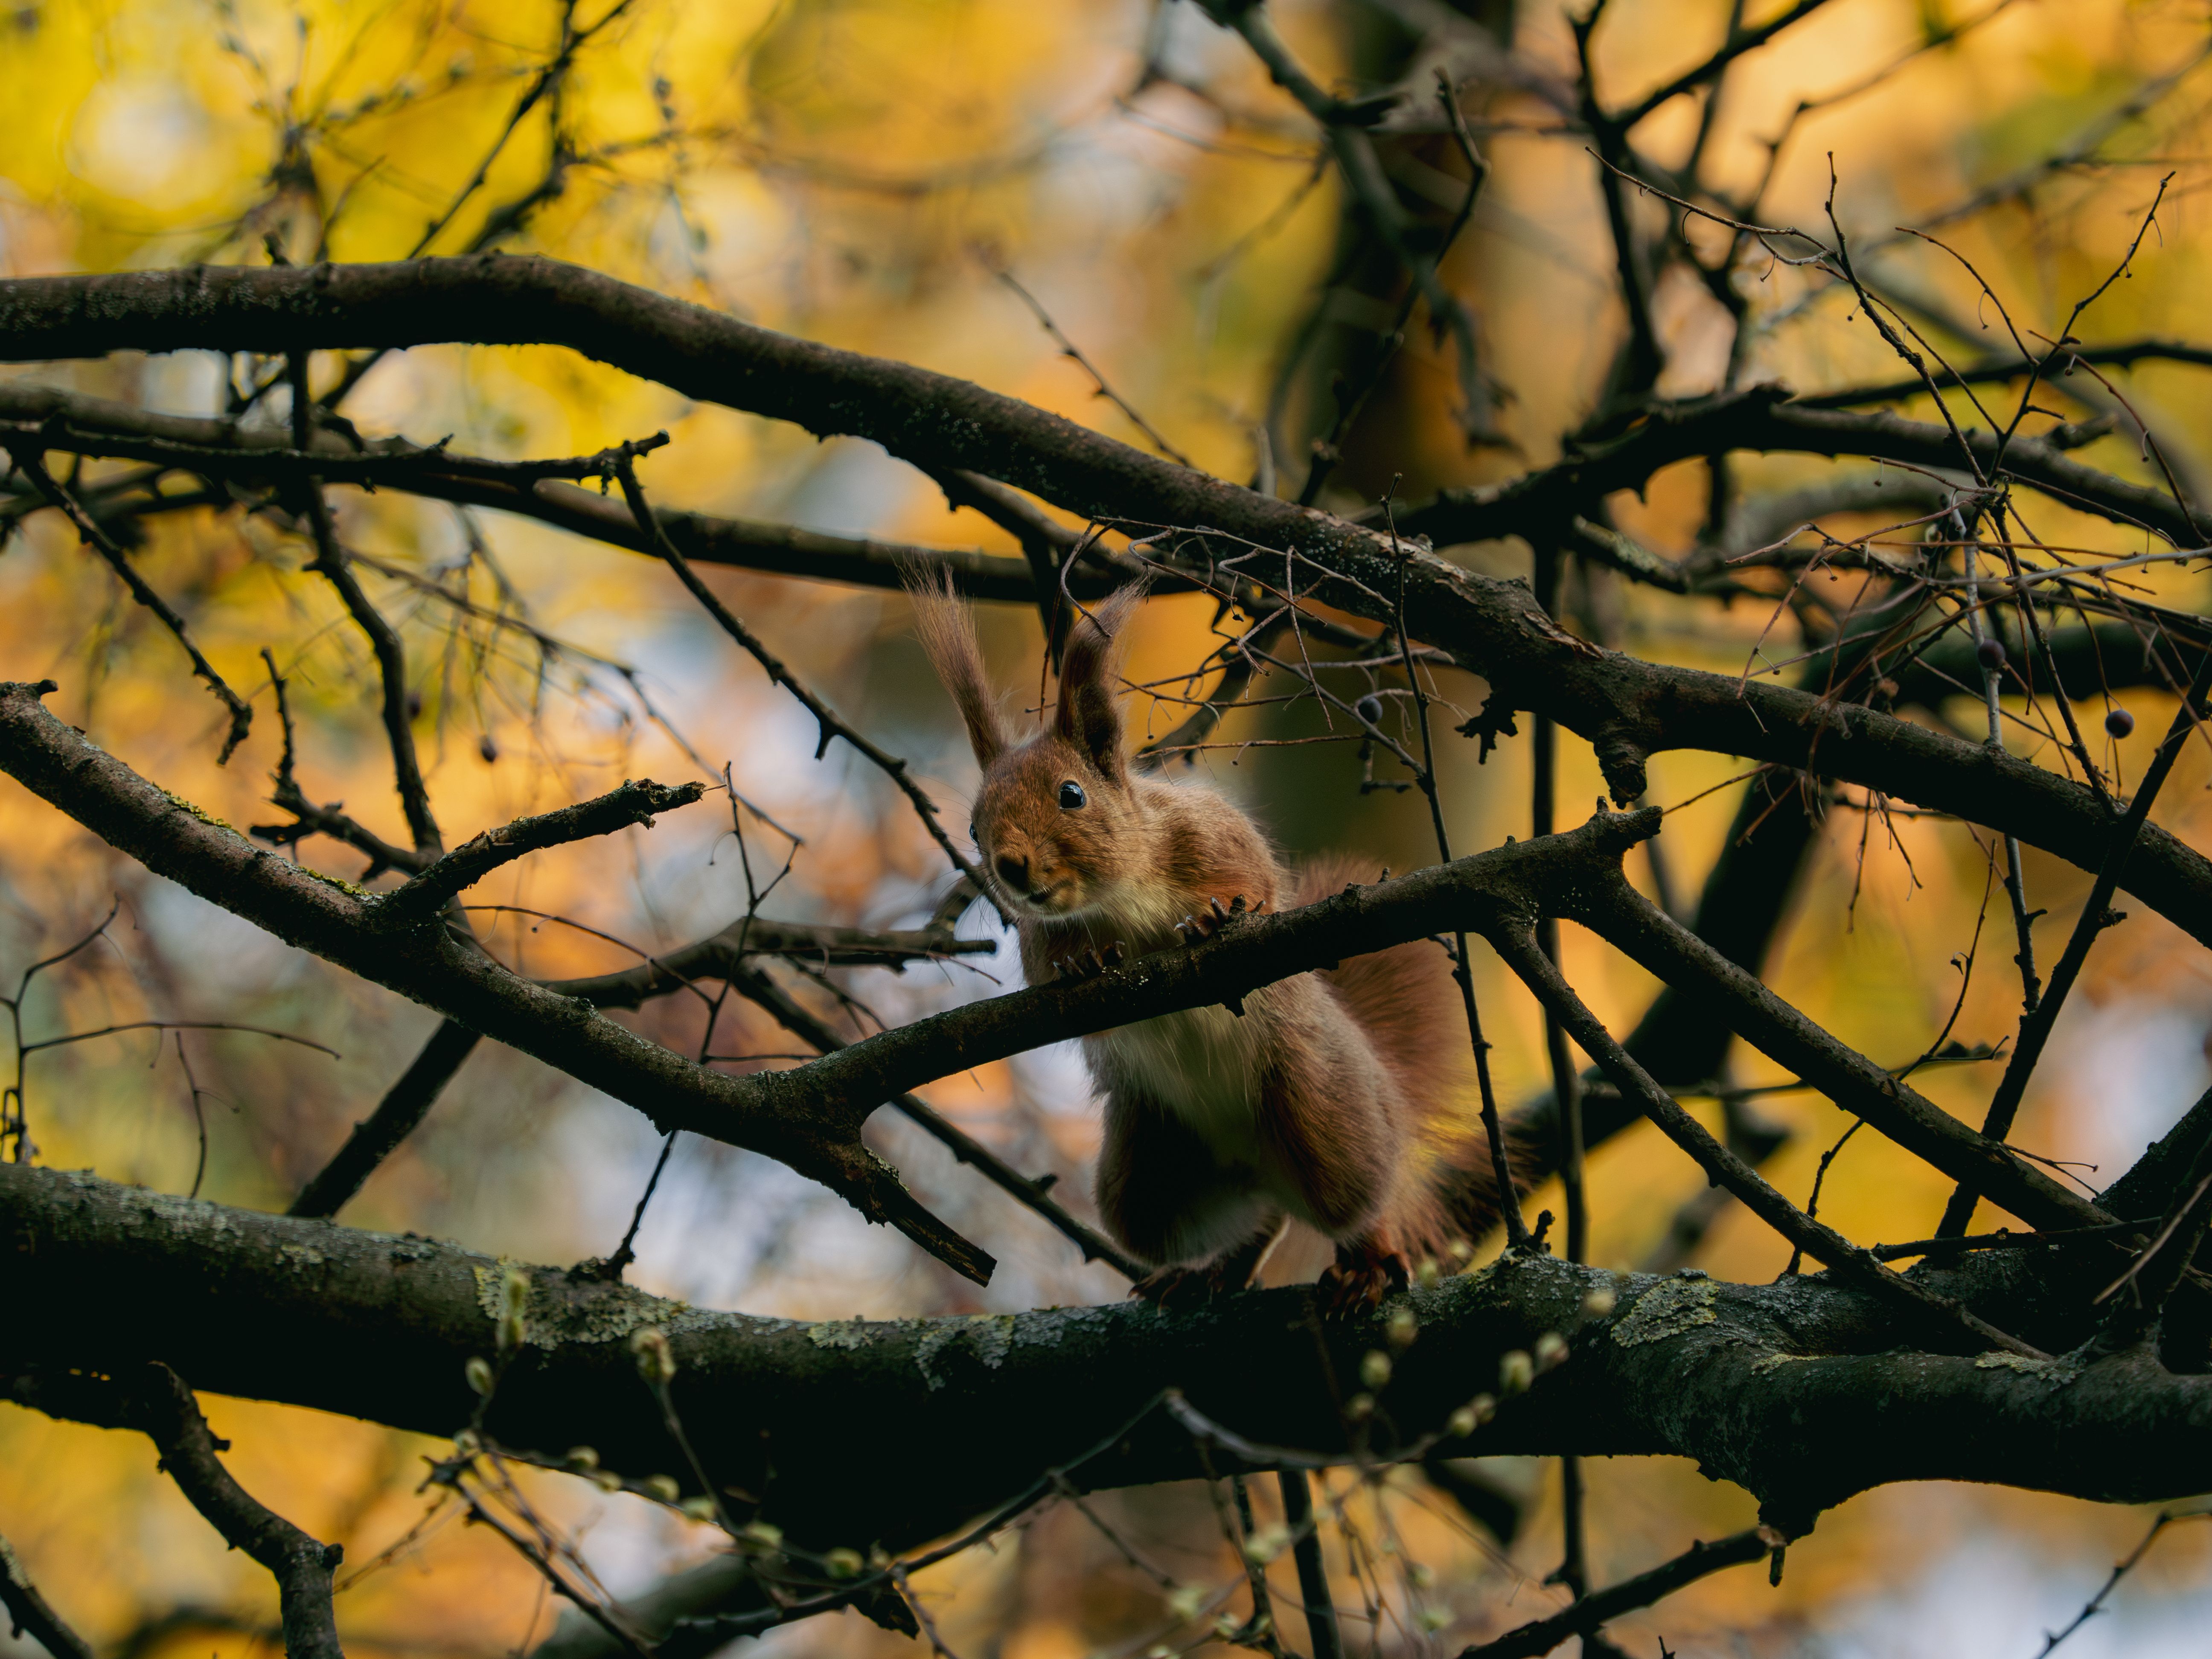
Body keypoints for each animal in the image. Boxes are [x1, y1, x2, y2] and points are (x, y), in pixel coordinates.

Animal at [914, 578, 1500, 1311]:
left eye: (1072, 794)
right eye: (973, 824)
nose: (1010, 867)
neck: (1121, 897)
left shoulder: (1211, 833)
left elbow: (1259, 885)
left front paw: (1219, 917)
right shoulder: (1038, 938)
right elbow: (1057, 981)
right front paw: (1084, 962)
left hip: (1325, 1110)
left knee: (1362, 1195)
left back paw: (1370, 1260)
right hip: (1153, 1175)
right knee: (1257, 1216)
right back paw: (1209, 1272)